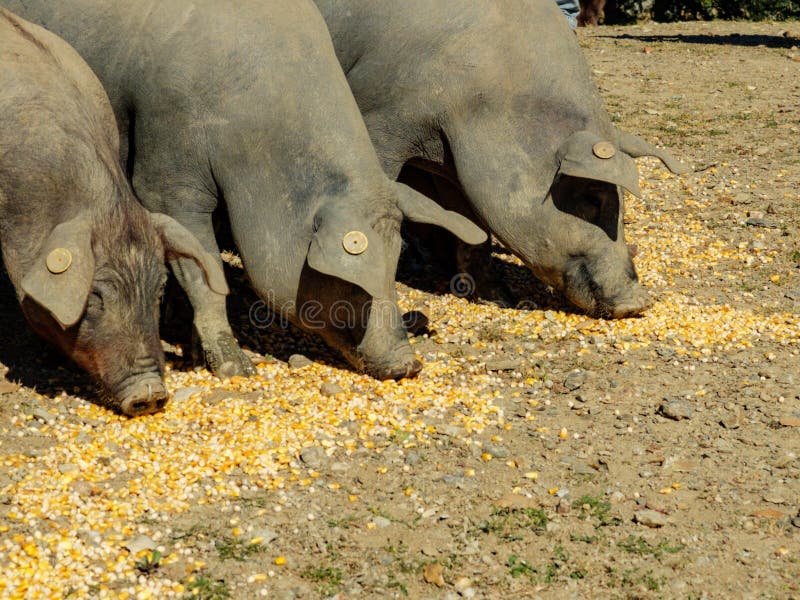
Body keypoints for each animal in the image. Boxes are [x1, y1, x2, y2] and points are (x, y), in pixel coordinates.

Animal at [315, 0, 688, 318]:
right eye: (593, 198)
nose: (638, 303)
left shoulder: (458, 165)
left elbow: (474, 231)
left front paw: (501, 298)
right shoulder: (383, 119)